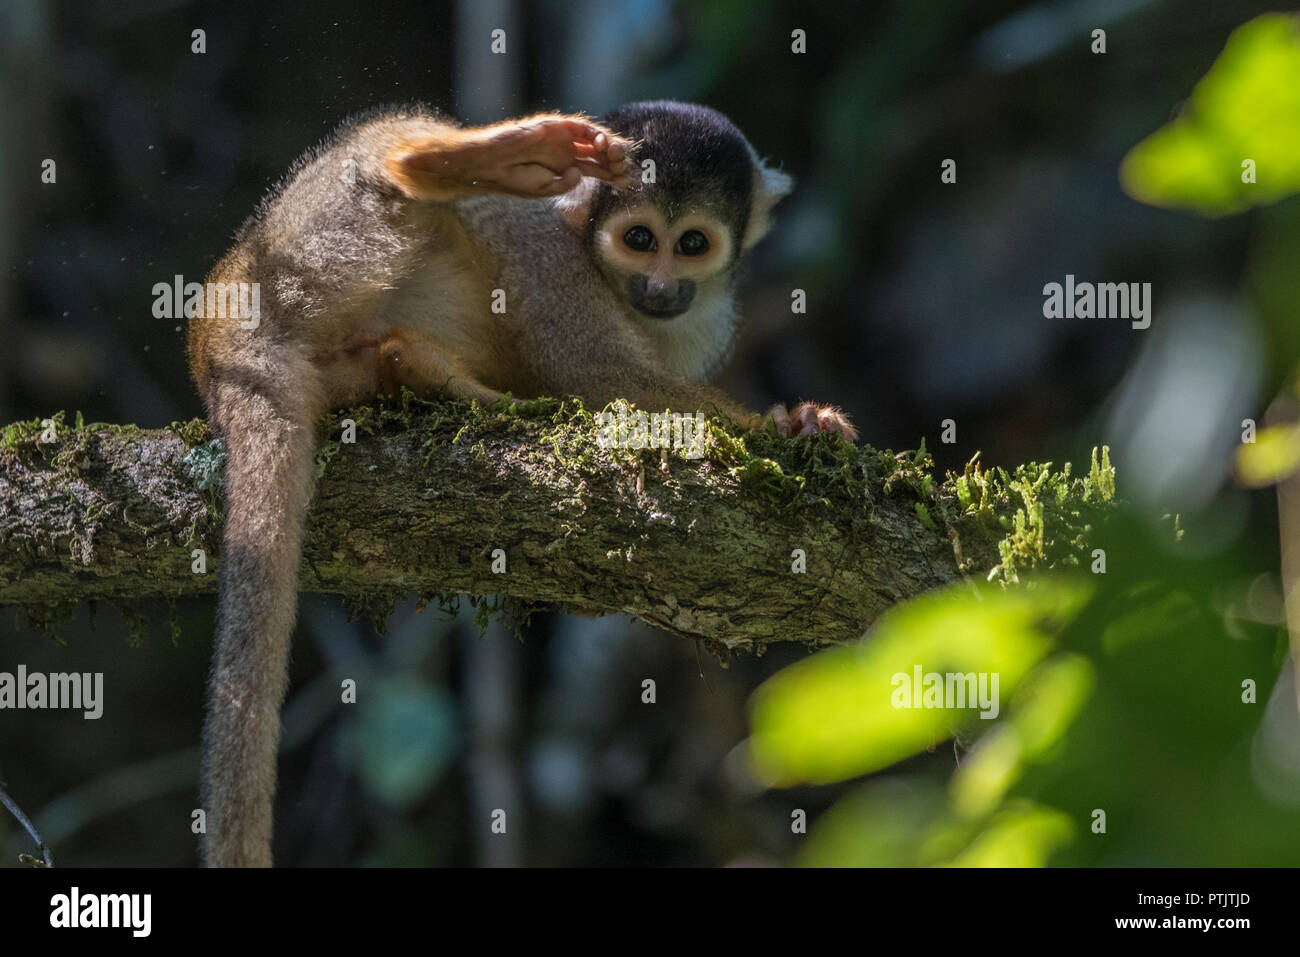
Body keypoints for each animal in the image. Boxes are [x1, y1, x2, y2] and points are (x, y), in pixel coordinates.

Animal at [186, 100, 855, 867]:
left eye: (691, 244)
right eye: (639, 239)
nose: (660, 289)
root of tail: (218, 341)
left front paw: (805, 418)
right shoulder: (549, 252)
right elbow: (595, 371)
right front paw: (786, 426)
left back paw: (417, 368)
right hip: (310, 242)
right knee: (404, 167)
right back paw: (465, 162)